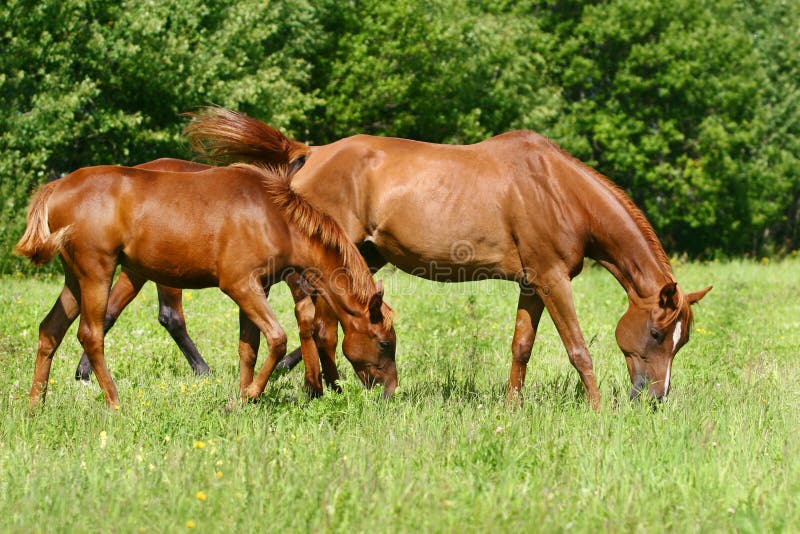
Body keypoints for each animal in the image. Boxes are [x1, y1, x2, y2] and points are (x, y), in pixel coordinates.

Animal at [14, 163, 397, 409]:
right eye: (384, 343)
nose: (390, 390)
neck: (273, 217)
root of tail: (57, 187)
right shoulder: (240, 285)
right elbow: (276, 338)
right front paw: (249, 395)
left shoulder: (256, 288)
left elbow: (248, 348)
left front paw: (243, 398)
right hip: (97, 272)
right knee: (91, 334)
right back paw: (114, 402)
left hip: (73, 278)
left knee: (50, 329)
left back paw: (36, 406)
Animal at [184, 107, 712, 408]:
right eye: (658, 333)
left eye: (682, 341)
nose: (656, 398)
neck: (557, 190)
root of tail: (310, 151)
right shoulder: (553, 280)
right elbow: (577, 347)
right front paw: (599, 408)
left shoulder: (531, 283)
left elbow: (522, 346)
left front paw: (511, 407)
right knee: (311, 316)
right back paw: (319, 386)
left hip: (361, 260)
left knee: (327, 321)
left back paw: (326, 386)